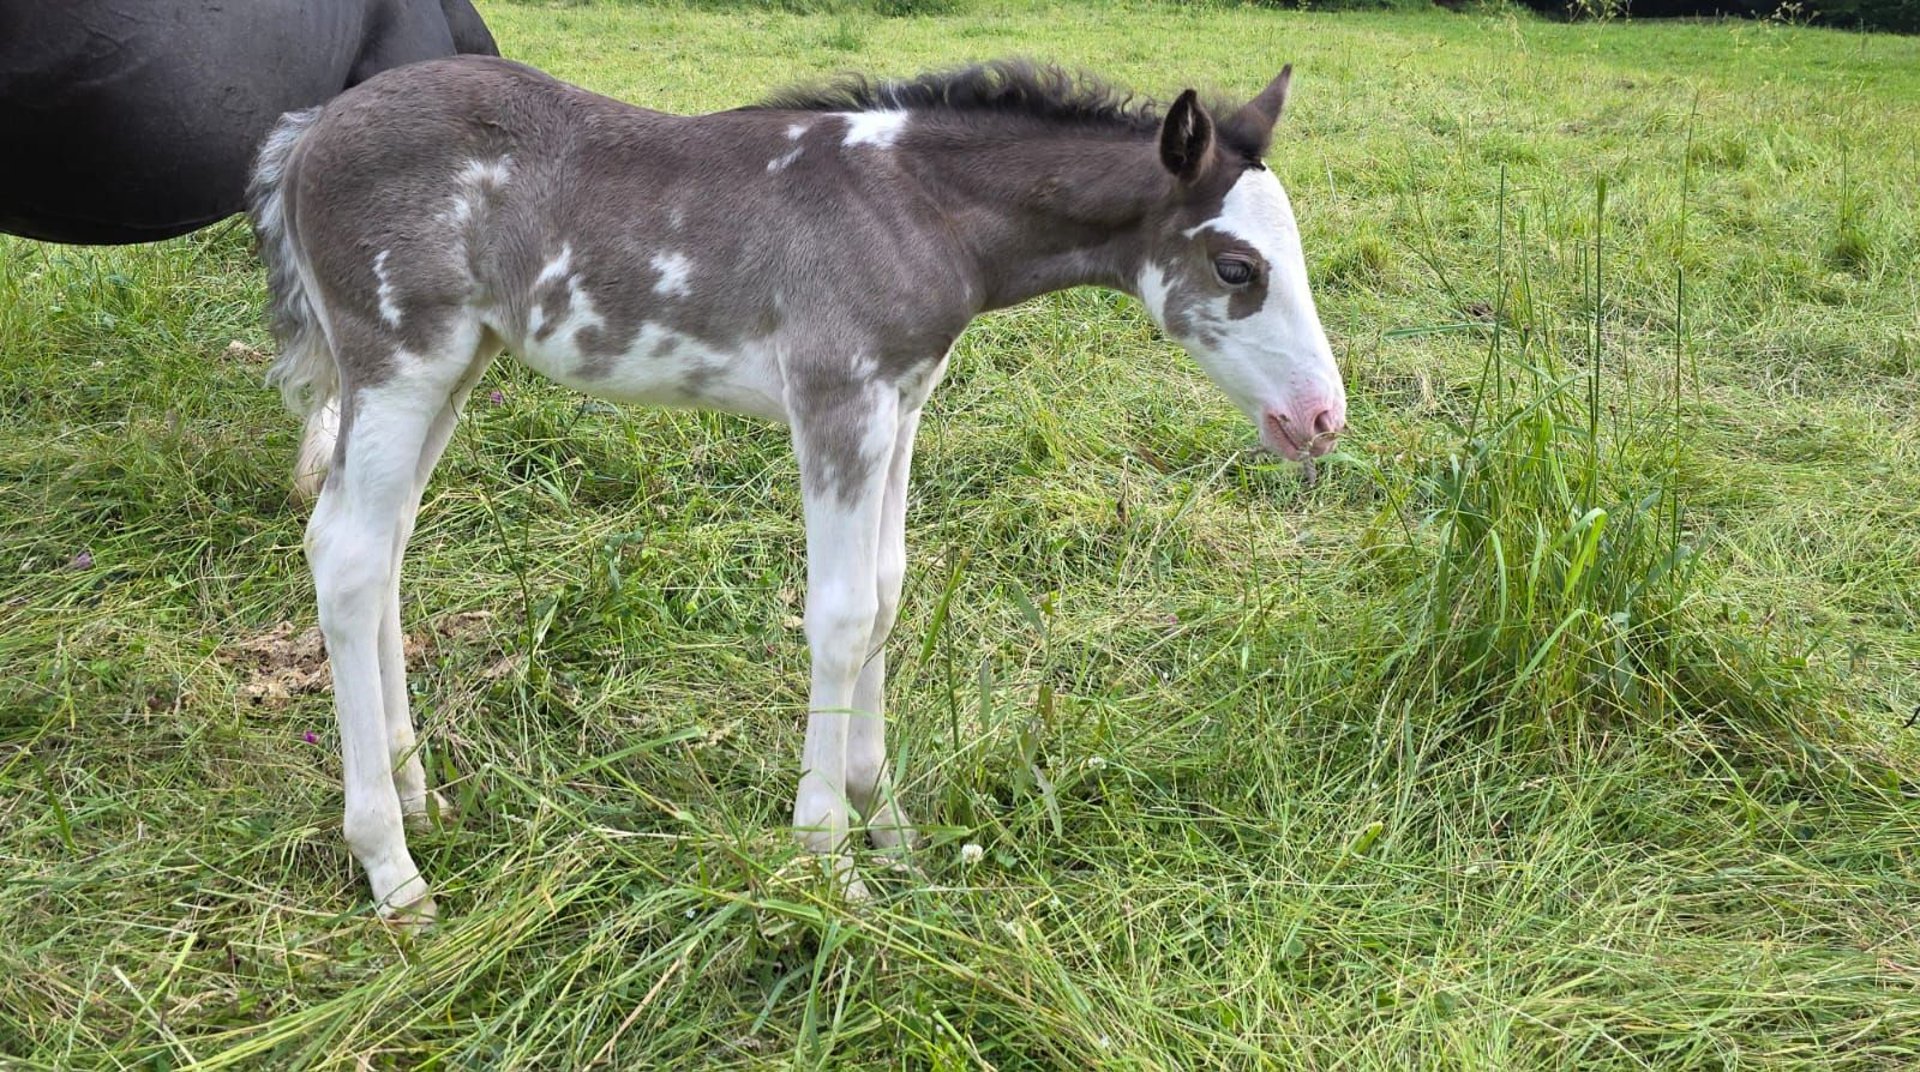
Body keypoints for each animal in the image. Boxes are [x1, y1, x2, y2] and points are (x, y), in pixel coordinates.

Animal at [247, 55, 1346, 924]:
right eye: (1237, 267)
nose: (1322, 418)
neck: (915, 206)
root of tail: (306, 134)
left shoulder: (902, 402)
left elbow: (890, 592)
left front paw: (887, 823)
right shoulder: (836, 399)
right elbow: (843, 614)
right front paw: (827, 860)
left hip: (455, 366)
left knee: (387, 548)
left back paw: (418, 797)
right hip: (401, 358)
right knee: (347, 556)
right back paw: (392, 868)